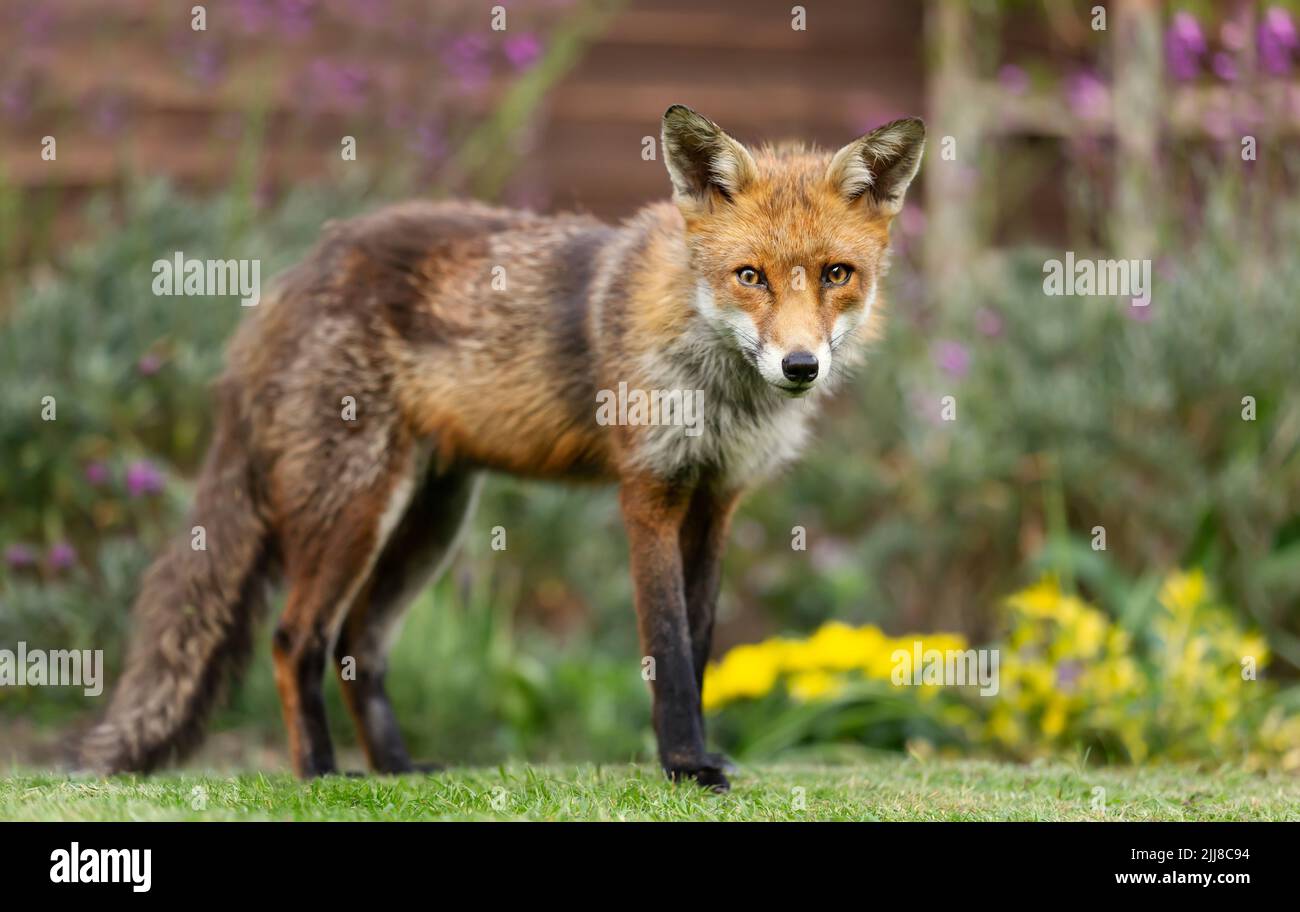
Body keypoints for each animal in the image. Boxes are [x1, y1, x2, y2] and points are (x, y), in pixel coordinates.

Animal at [80, 105, 925, 792]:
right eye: (749, 276)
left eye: (836, 274)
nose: (800, 366)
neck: (713, 376)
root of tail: (288, 282)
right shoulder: (648, 491)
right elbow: (669, 650)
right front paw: (686, 766)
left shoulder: (716, 498)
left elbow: (701, 640)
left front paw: (694, 756)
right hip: (358, 507)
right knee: (296, 641)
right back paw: (318, 773)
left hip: (433, 521)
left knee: (359, 644)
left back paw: (395, 771)